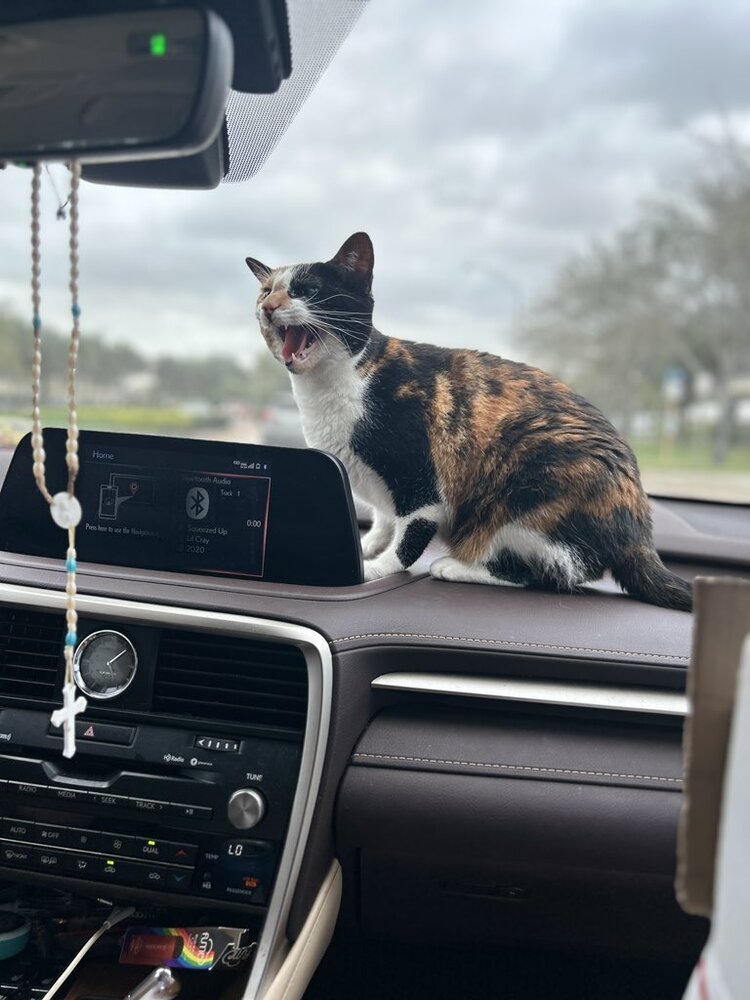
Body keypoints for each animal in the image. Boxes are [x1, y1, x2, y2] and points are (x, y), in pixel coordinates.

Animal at [246, 233, 692, 611]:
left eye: (308, 290)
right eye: (266, 290)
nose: (268, 307)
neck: (339, 382)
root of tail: (639, 531)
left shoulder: (419, 476)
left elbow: (409, 533)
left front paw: (376, 567)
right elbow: (385, 519)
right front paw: (367, 545)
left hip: (532, 478)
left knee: (554, 571)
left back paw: (458, 566)